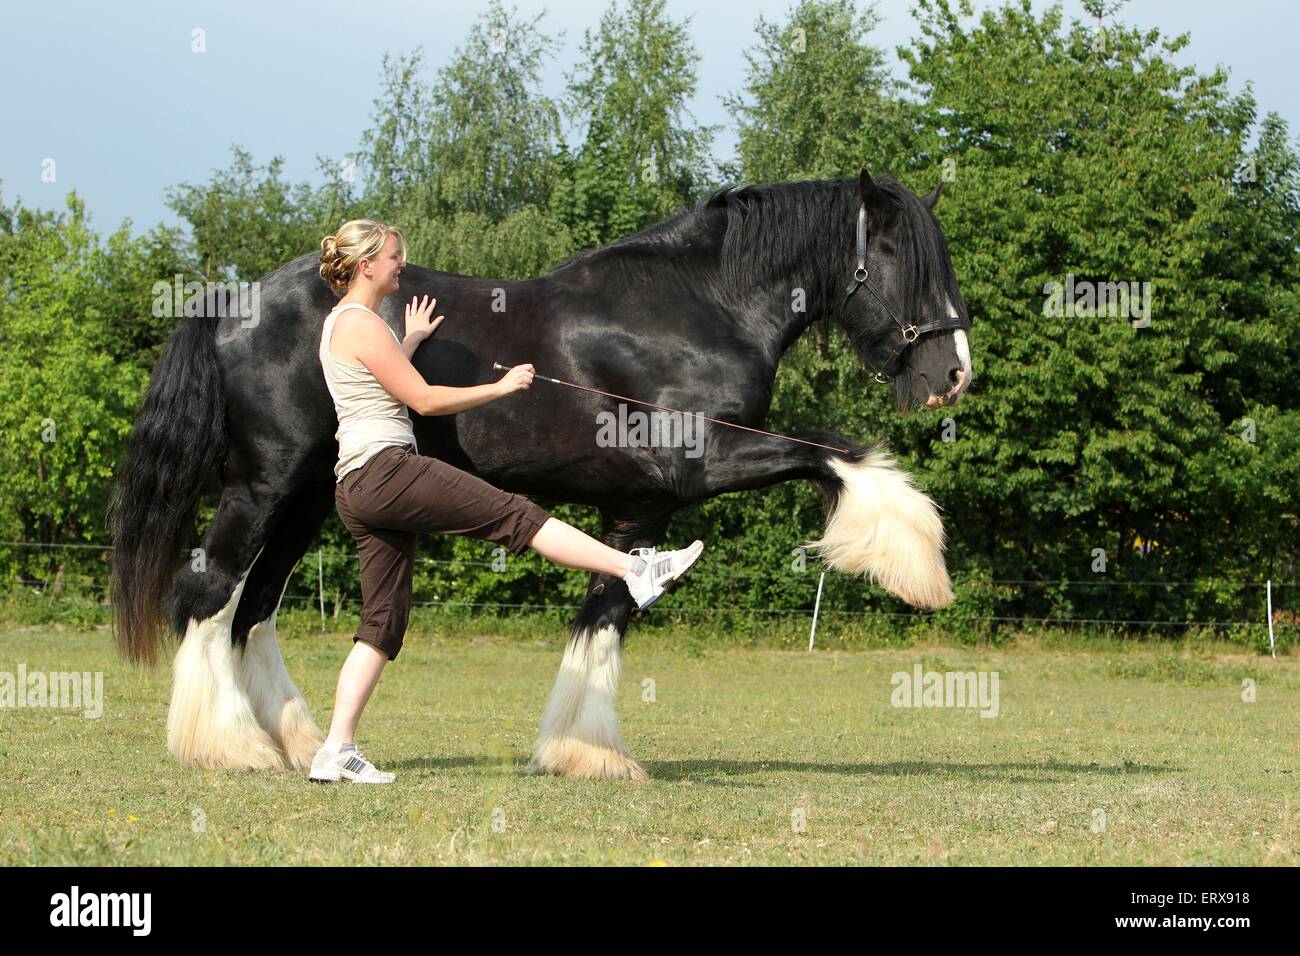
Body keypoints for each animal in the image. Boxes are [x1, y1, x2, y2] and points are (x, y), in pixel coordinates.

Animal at [109, 169, 973, 780]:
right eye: (895, 255)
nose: (953, 373)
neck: (701, 307)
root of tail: (233, 302)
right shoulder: (697, 464)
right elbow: (834, 450)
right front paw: (916, 563)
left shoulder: (644, 506)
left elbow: (606, 614)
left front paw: (584, 753)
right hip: (264, 487)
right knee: (208, 594)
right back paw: (230, 748)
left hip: (310, 497)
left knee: (254, 608)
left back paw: (295, 743)